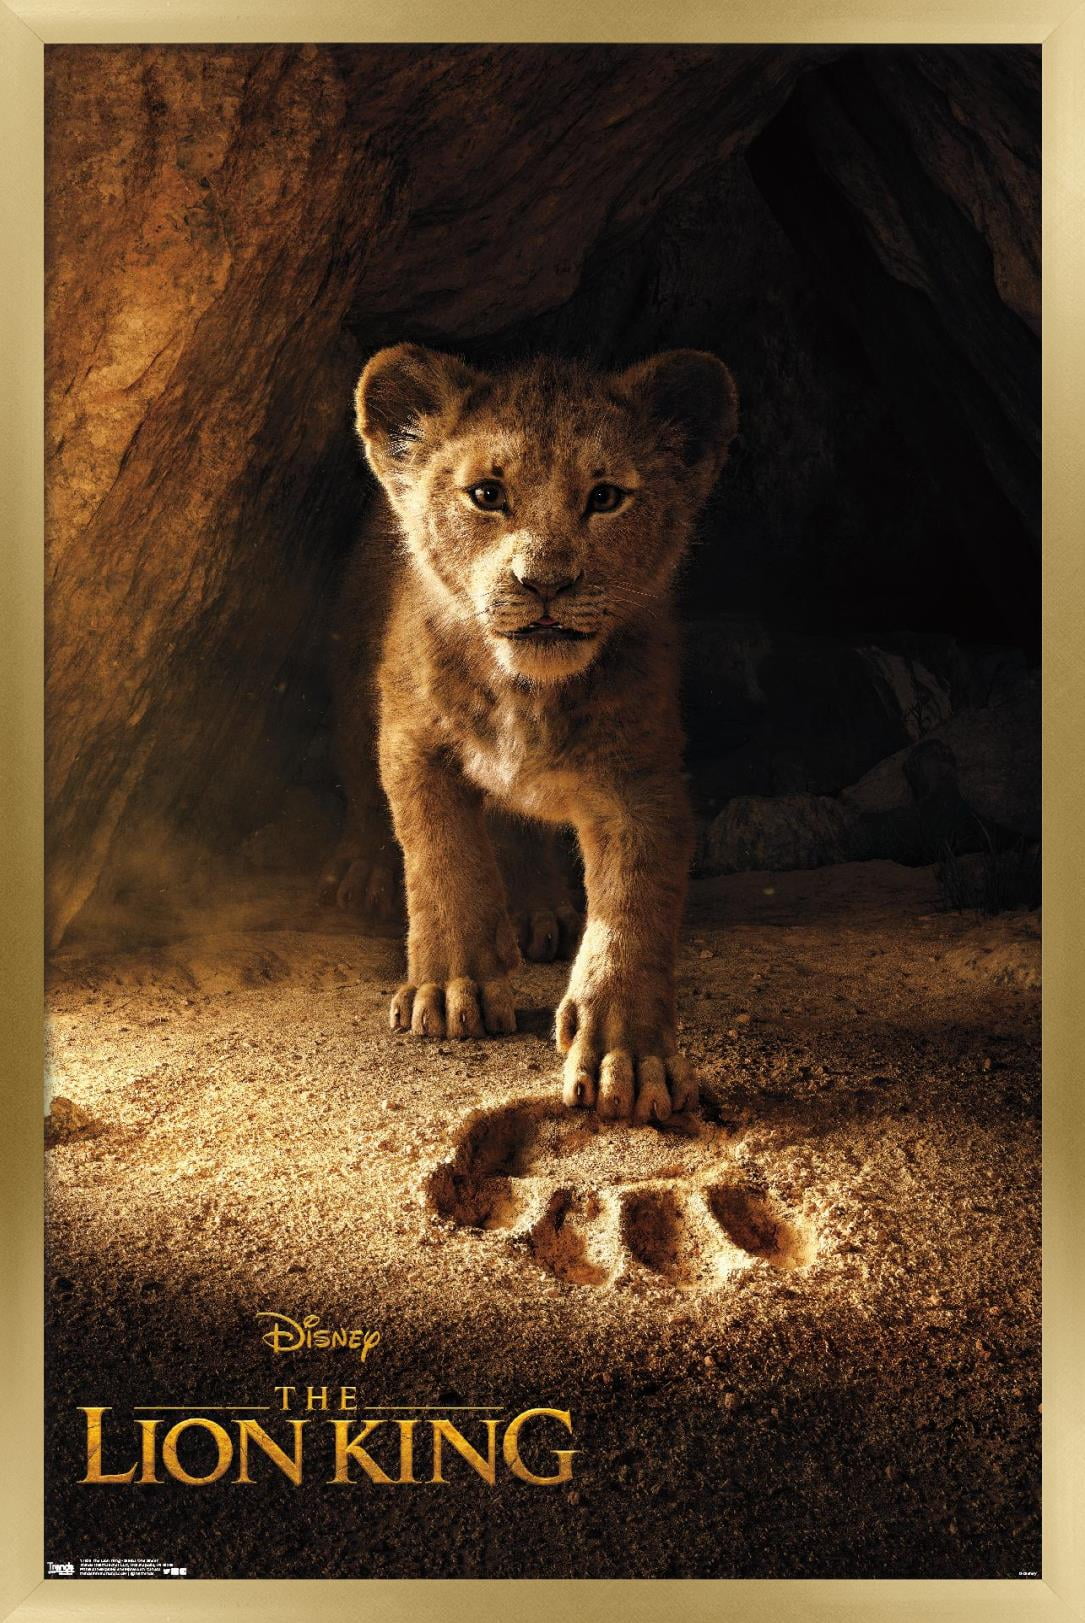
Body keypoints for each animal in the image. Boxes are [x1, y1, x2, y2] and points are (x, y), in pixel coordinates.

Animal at [322, 344, 738, 1123]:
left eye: (605, 497)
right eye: (487, 494)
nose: (544, 582)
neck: (527, 691)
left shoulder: (641, 780)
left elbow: (633, 909)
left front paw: (626, 1056)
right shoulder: (413, 741)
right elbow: (442, 860)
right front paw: (449, 988)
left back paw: (538, 909)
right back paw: (363, 871)